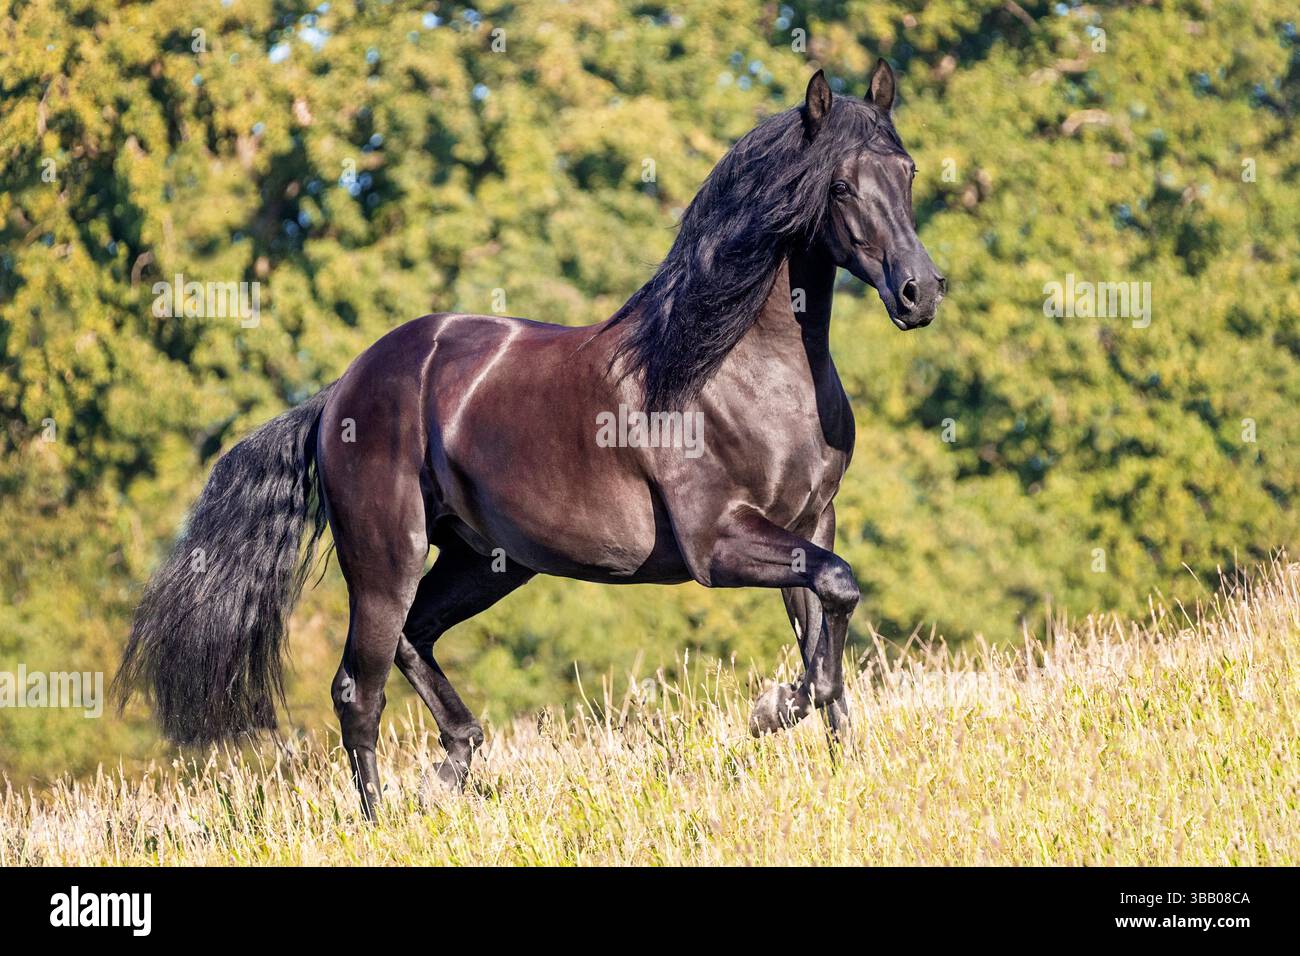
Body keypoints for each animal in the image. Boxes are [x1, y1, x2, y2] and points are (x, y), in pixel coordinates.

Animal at [117, 61, 945, 818]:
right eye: (840, 187)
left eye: (905, 171)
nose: (920, 293)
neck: (733, 367)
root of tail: (336, 396)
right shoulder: (719, 543)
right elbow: (834, 602)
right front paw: (771, 712)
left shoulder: (809, 521)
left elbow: (827, 625)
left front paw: (840, 765)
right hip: (386, 558)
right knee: (359, 687)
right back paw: (381, 820)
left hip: (487, 561)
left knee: (415, 639)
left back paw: (450, 770)